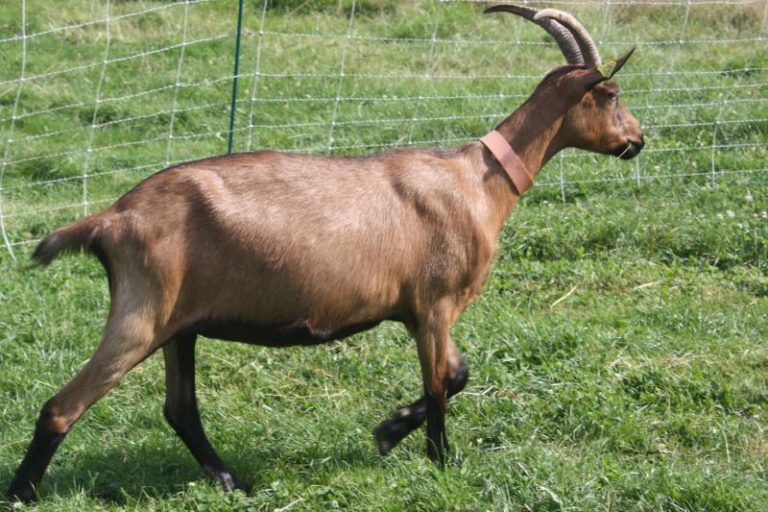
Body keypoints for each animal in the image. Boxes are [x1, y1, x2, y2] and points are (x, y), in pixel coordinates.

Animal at [7, 4, 644, 502]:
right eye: (611, 93)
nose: (636, 140)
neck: (478, 183)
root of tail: (112, 218)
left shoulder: (418, 311)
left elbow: (459, 373)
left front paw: (389, 430)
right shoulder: (436, 303)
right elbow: (442, 382)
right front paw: (441, 460)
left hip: (177, 327)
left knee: (179, 408)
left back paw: (231, 480)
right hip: (141, 316)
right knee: (63, 406)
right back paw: (22, 493)